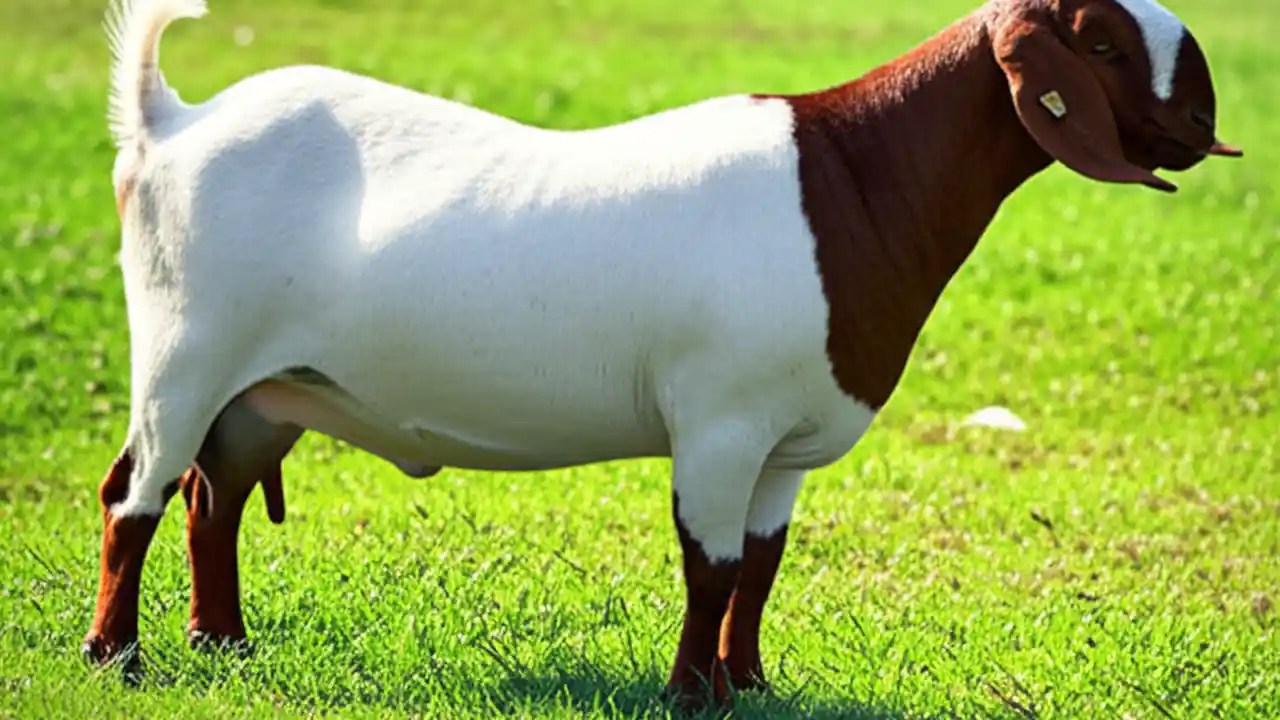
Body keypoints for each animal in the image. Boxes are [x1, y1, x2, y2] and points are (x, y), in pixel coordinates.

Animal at [84, 0, 1239, 706]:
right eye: (1100, 44)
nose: (1200, 122)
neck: (852, 180)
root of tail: (169, 122)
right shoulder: (720, 424)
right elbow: (709, 563)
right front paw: (690, 695)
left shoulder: (779, 447)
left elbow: (760, 567)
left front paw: (750, 686)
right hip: (186, 353)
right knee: (135, 495)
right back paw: (117, 656)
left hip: (261, 392)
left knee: (214, 496)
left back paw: (221, 641)